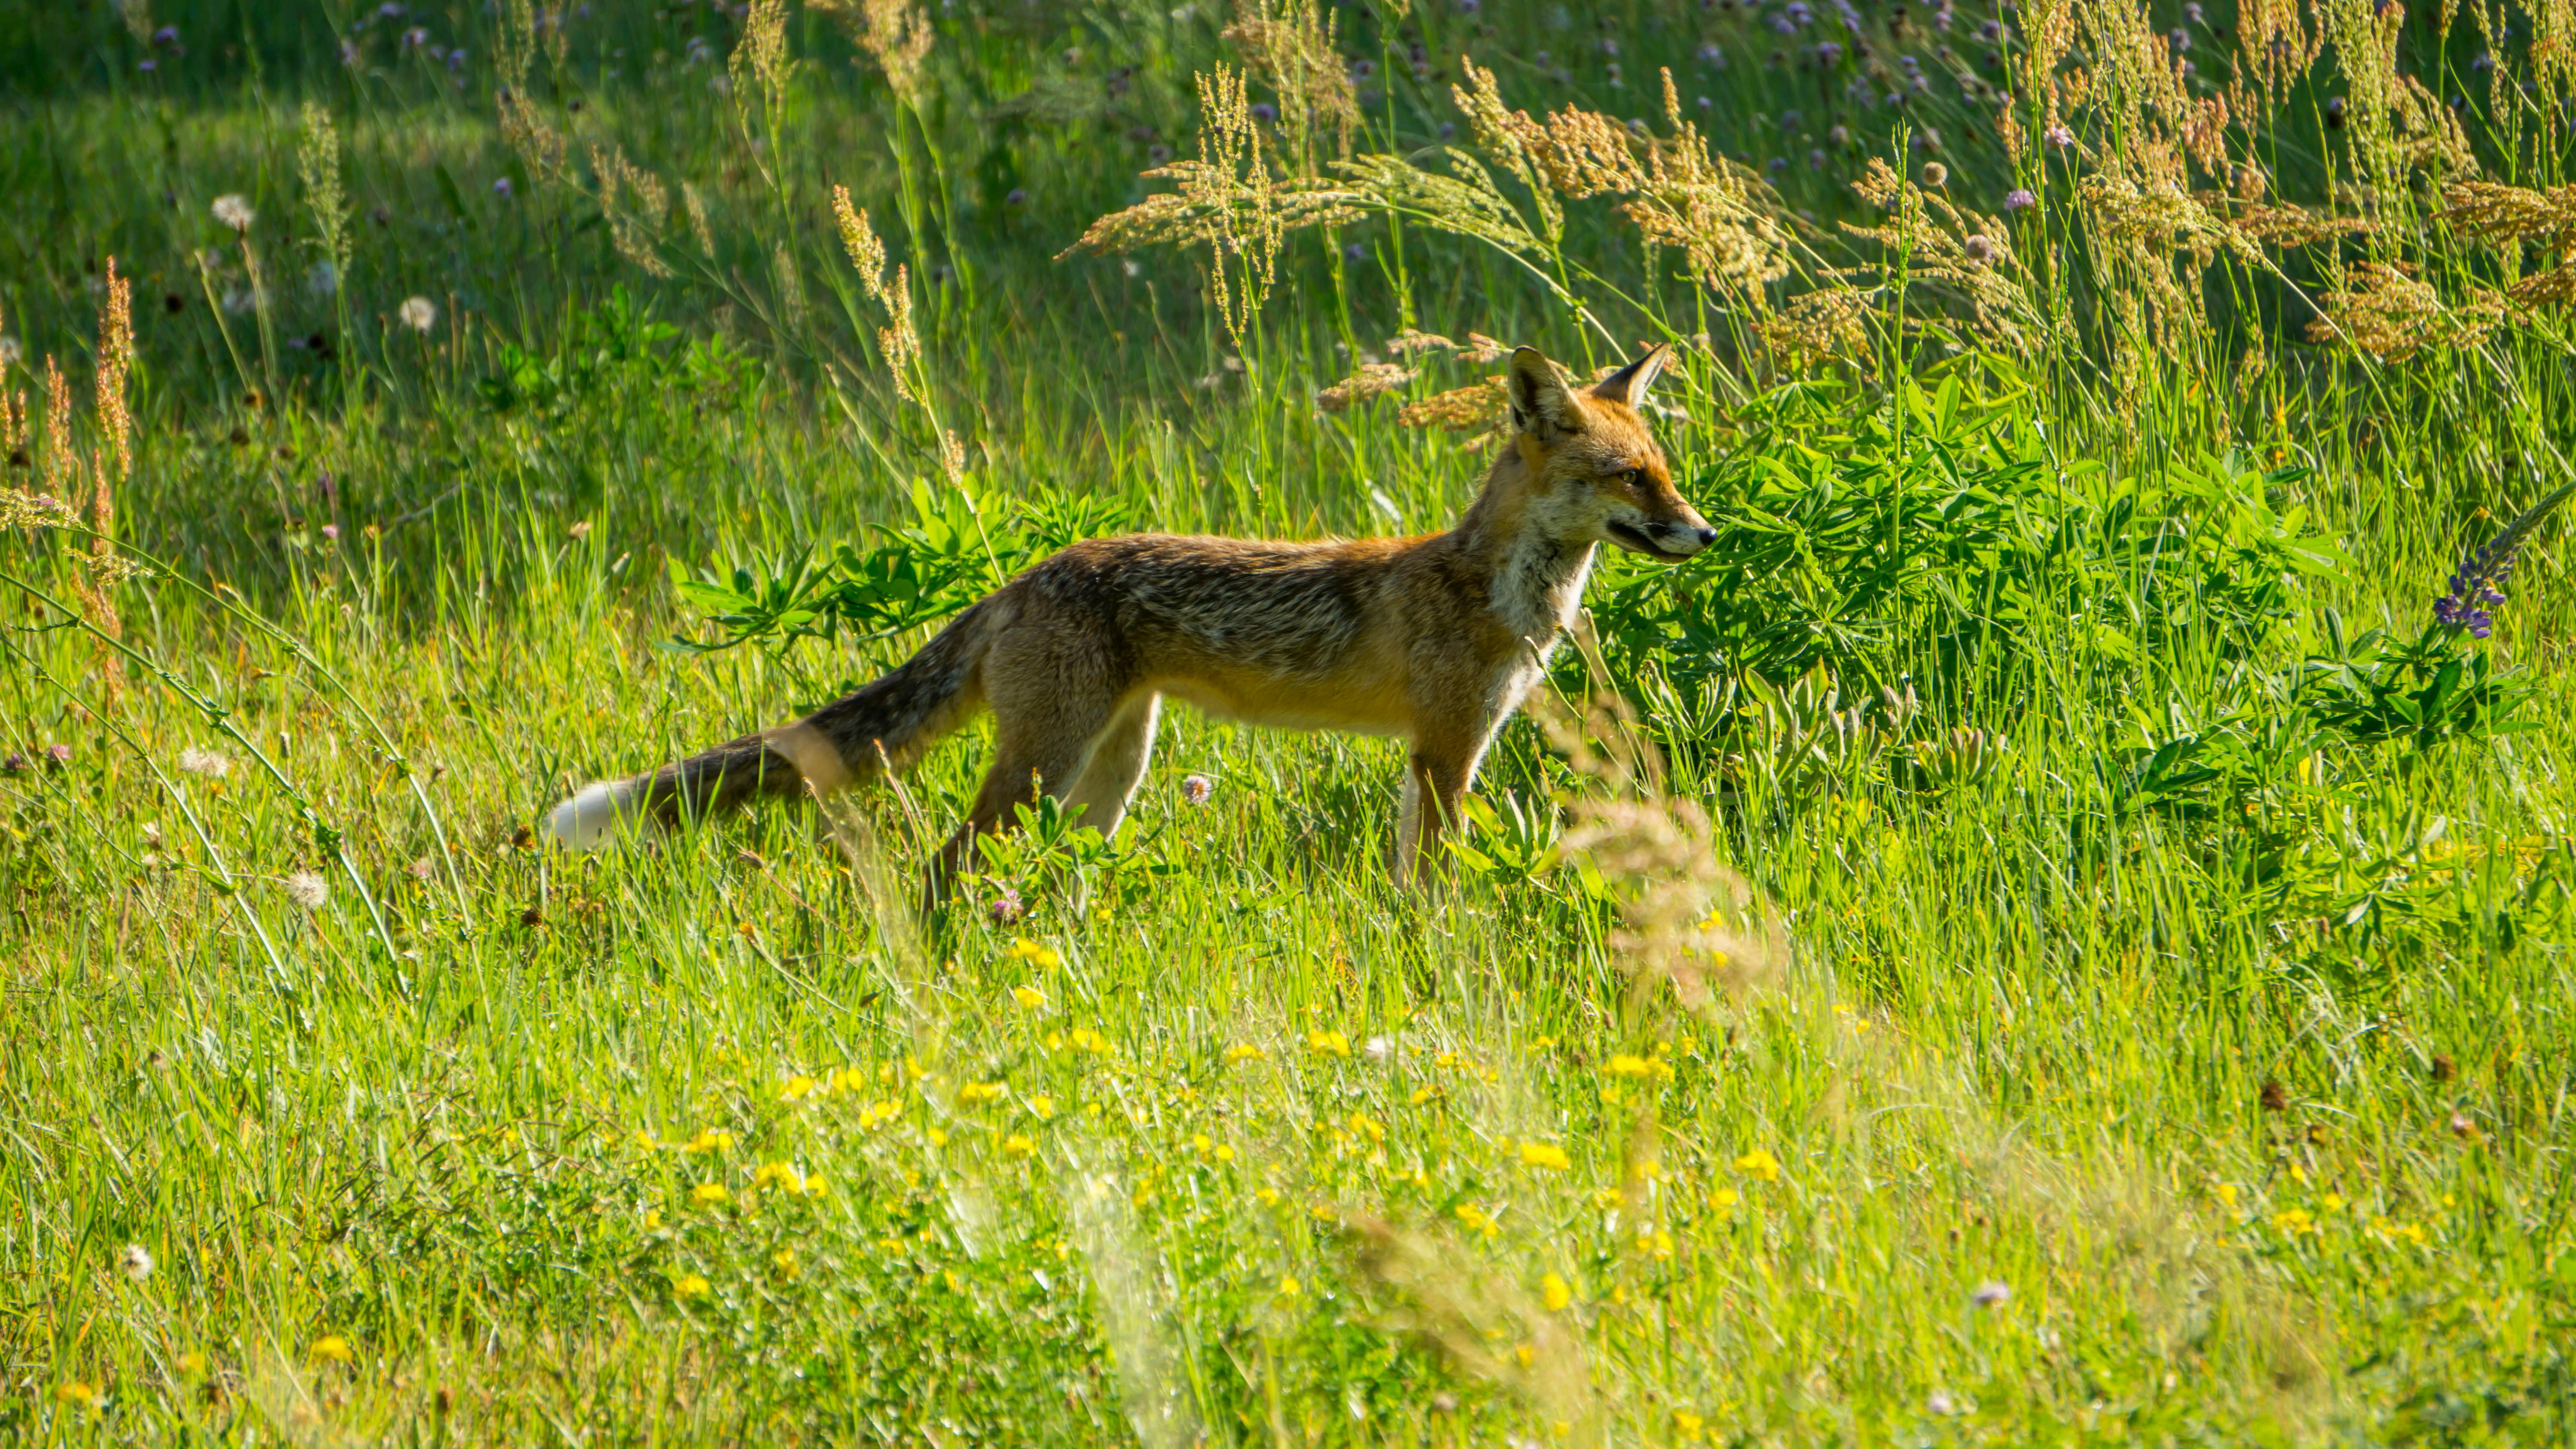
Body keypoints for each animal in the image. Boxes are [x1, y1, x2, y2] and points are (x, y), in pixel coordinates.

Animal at [545, 342, 1713, 892]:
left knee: (1048, 871)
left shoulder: (1442, 752)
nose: (1704, 532)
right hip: (1043, 764)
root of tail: (1024, 576)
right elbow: (1433, 882)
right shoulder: (1443, 749)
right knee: (949, 865)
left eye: (1667, 470)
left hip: (1111, 771)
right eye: (1632, 479)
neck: (1491, 590)